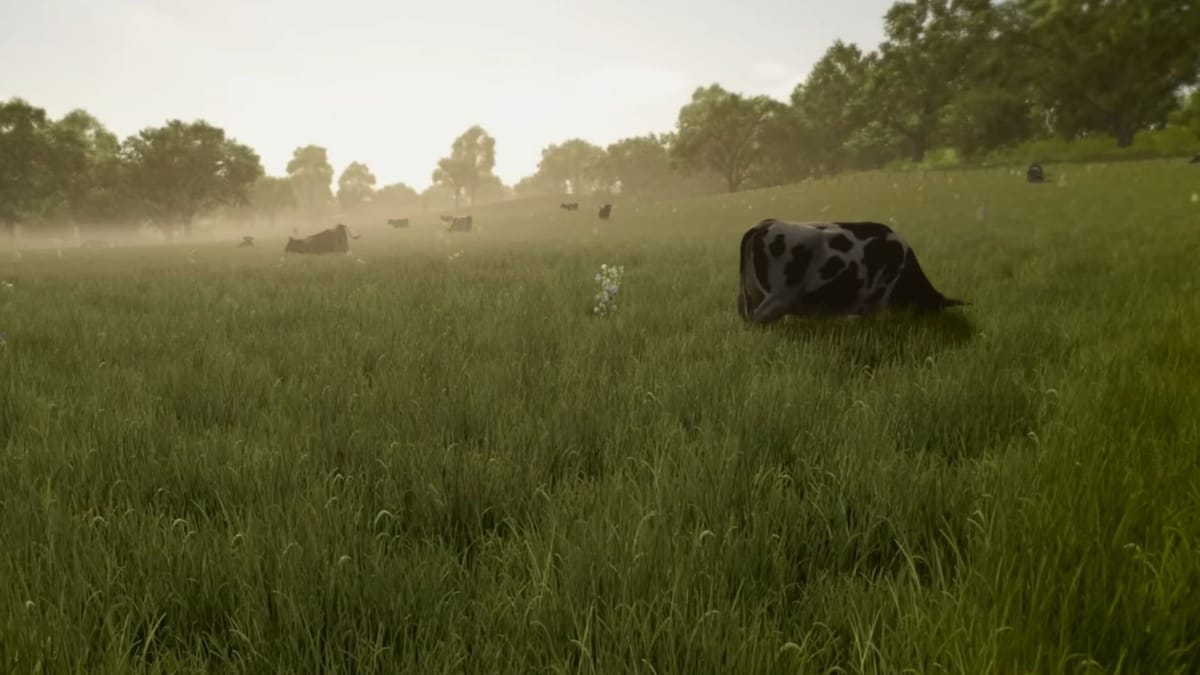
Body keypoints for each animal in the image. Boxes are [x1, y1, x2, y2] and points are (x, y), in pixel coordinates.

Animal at [737, 219, 965, 324]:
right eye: (935, 309)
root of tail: (764, 224)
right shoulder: (874, 298)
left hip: (755, 292)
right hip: (776, 296)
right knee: (757, 318)